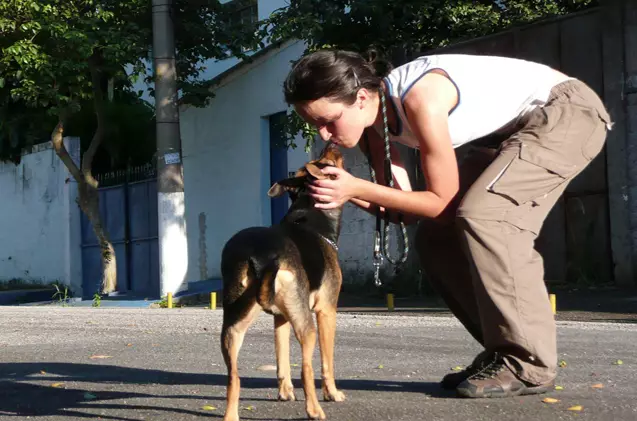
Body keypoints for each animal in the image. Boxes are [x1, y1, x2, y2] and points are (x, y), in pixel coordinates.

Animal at [220, 143, 348, 418]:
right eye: (326, 162)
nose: (331, 143)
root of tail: (259, 254)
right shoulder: (326, 311)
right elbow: (327, 362)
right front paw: (332, 393)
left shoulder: (281, 317)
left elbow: (281, 356)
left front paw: (285, 392)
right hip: (306, 325)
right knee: (306, 369)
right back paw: (315, 410)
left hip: (234, 324)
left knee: (233, 377)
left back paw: (231, 415)